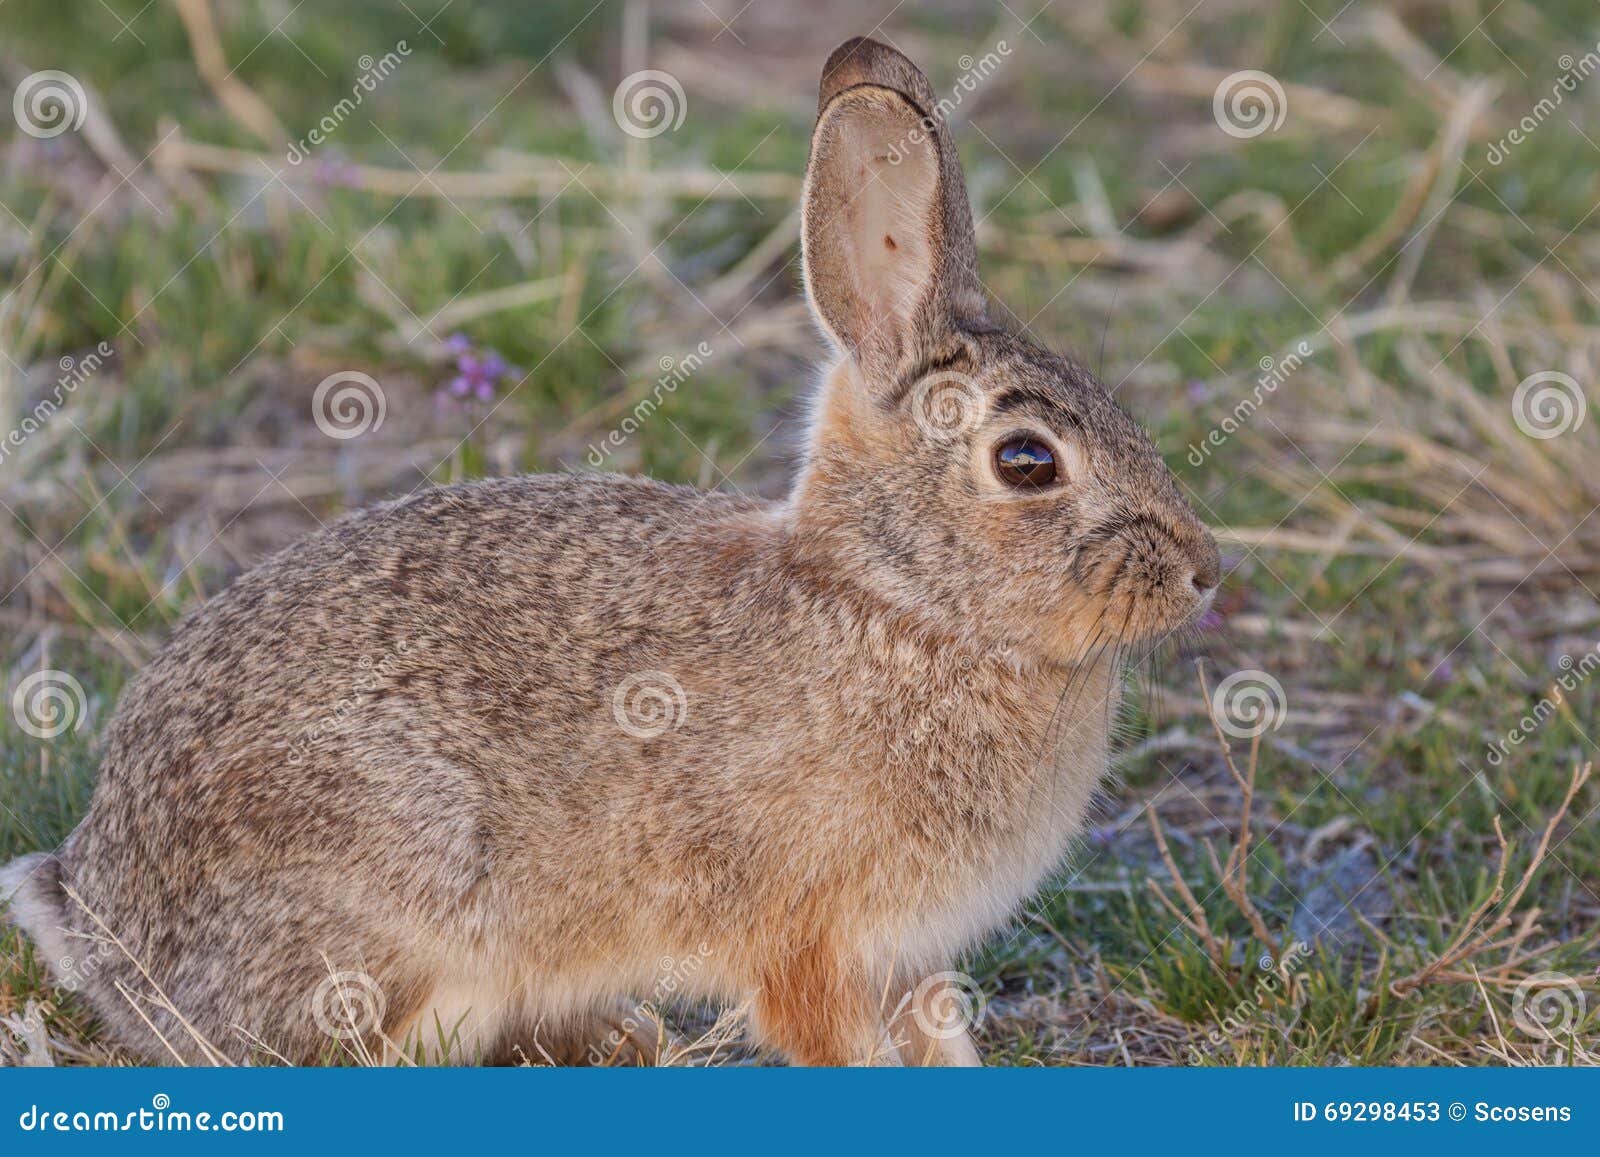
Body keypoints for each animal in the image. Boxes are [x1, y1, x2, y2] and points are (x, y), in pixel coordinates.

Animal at [0, 36, 1218, 1067]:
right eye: (1027, 461)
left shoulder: (910, 957)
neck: (902, 600)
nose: (1203, 570)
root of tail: (99, 919)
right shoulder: (811, 941)